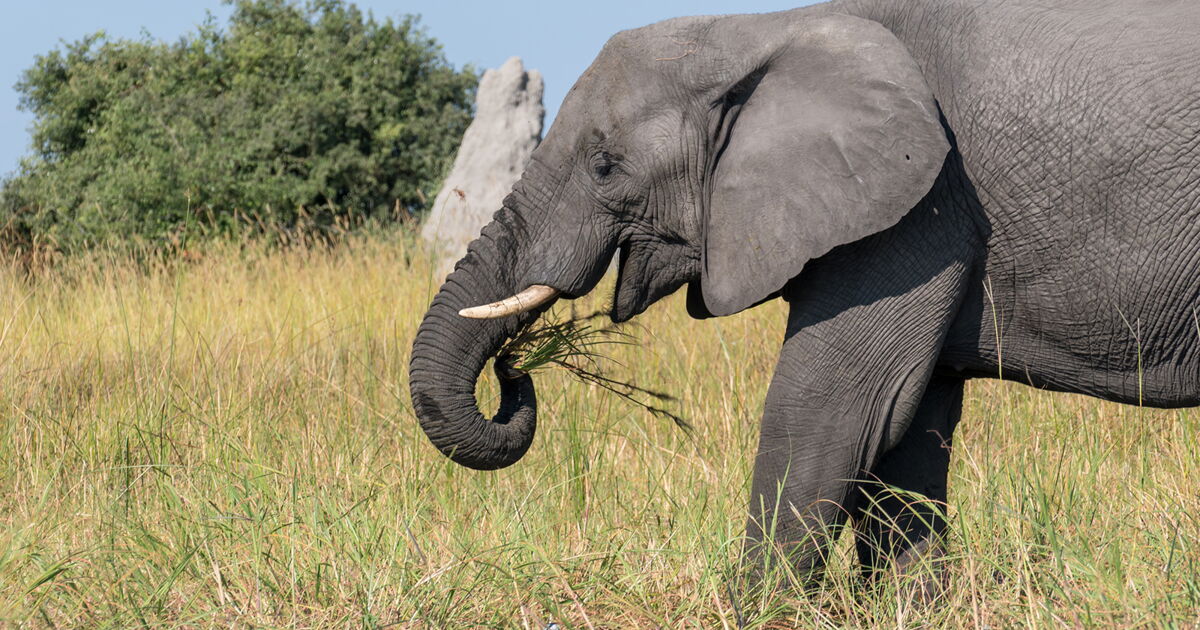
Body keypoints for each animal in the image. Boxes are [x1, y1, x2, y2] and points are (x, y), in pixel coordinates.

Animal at [409, 0, 1200, 585]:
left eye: (605, 166)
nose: (513, 369)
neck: (765, 28)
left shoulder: (921, 206)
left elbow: (830, 404)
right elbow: (908, 425)